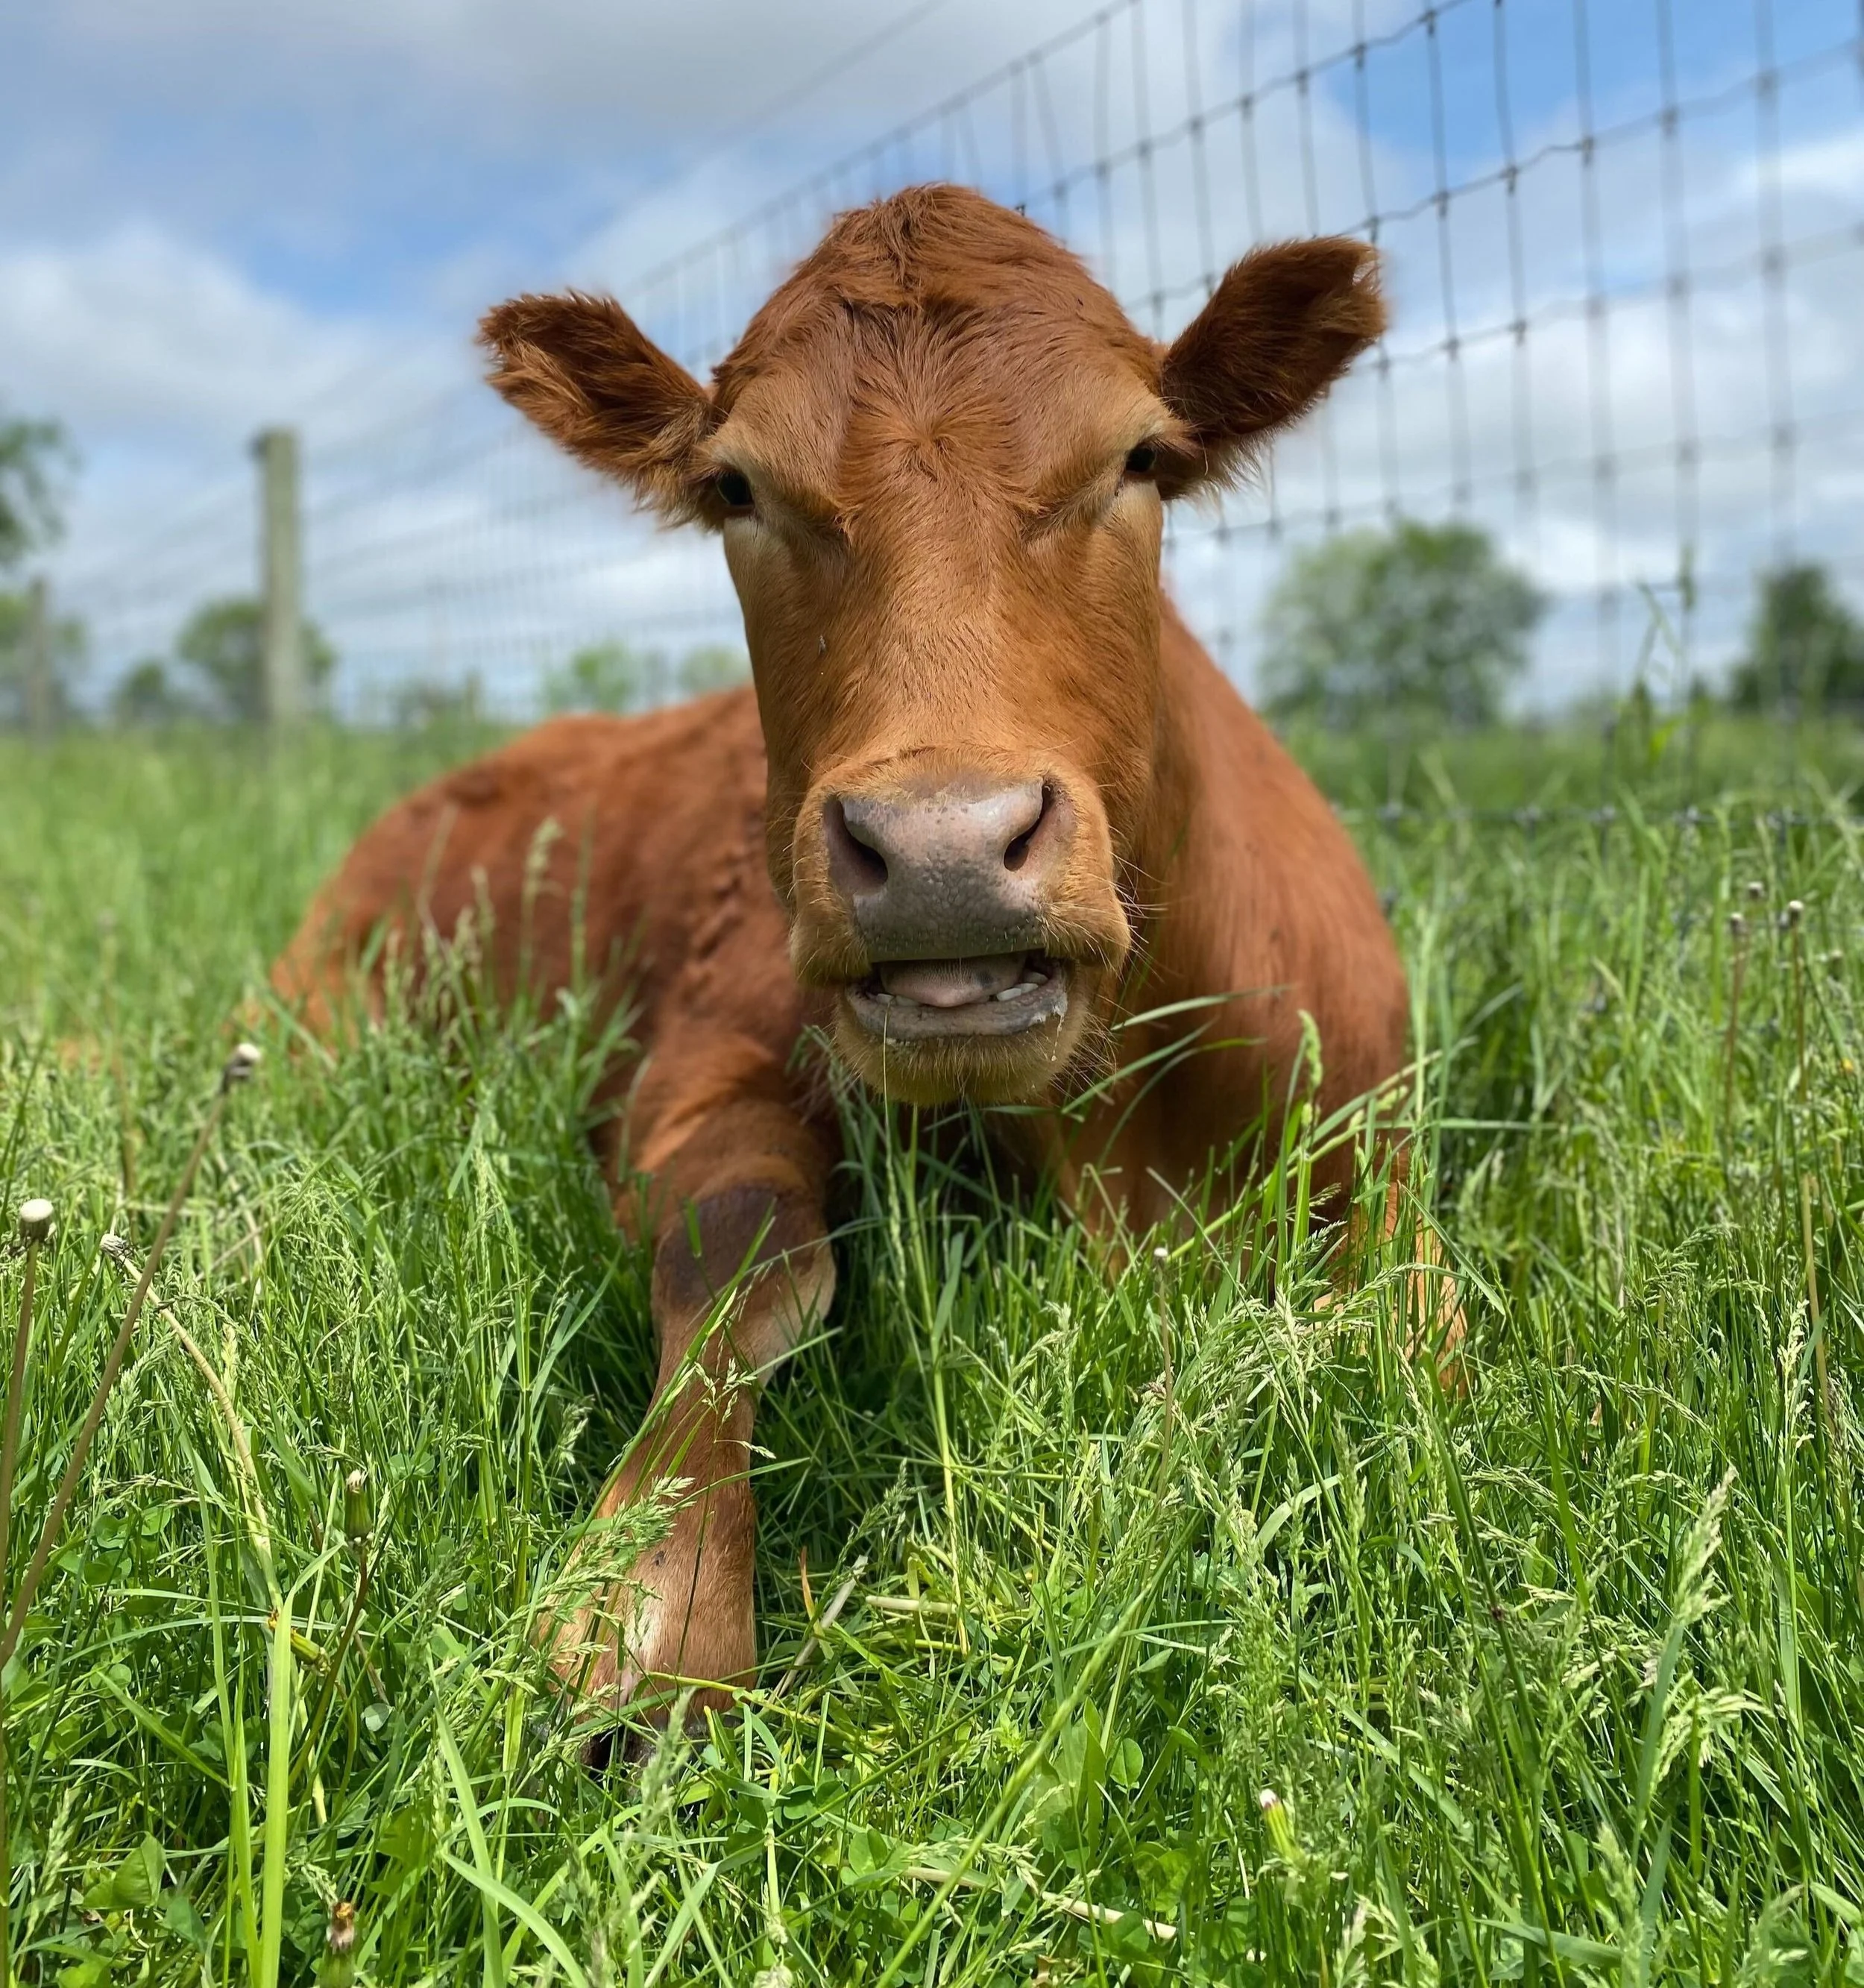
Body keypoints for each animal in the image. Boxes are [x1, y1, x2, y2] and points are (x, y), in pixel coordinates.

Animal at [272, 183, 1427, 1730]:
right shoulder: (701, 1057)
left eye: (1139, 459)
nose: (941, 851)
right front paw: (646, 1596)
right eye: (739, 490)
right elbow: (743, 1244)